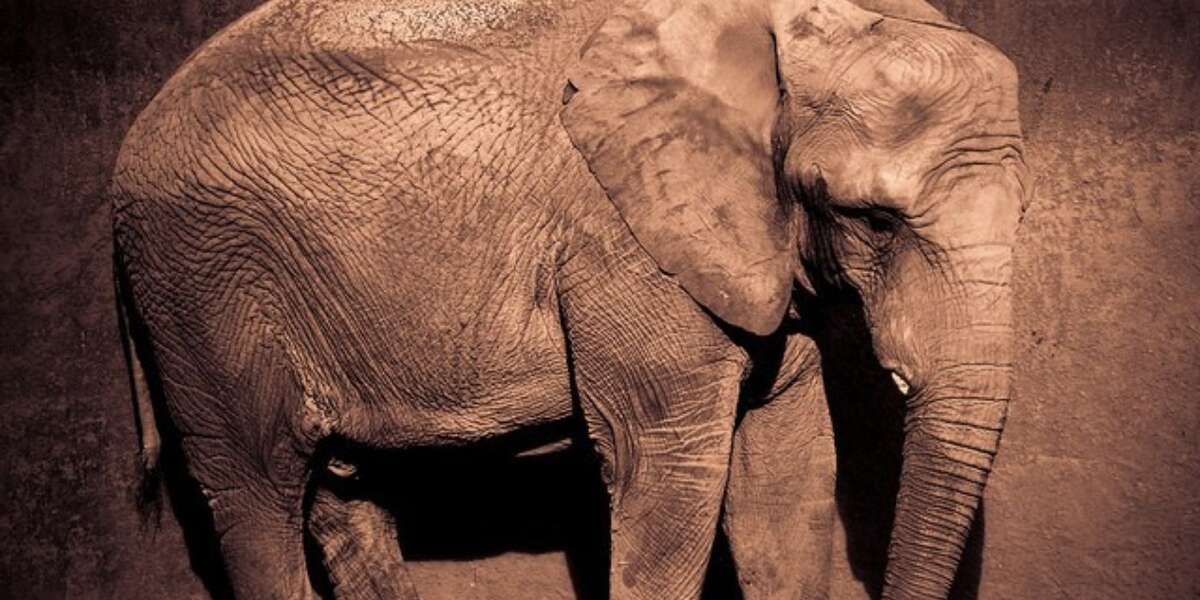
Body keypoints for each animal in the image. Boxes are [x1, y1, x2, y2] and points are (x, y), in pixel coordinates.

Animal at [111, 0, 1029, 598]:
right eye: (873, 218)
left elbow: (787, 473)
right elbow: (666, 469)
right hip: (202, 288)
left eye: (1023, 216)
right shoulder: (622, 244)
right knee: (256, 494)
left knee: (342, 499)